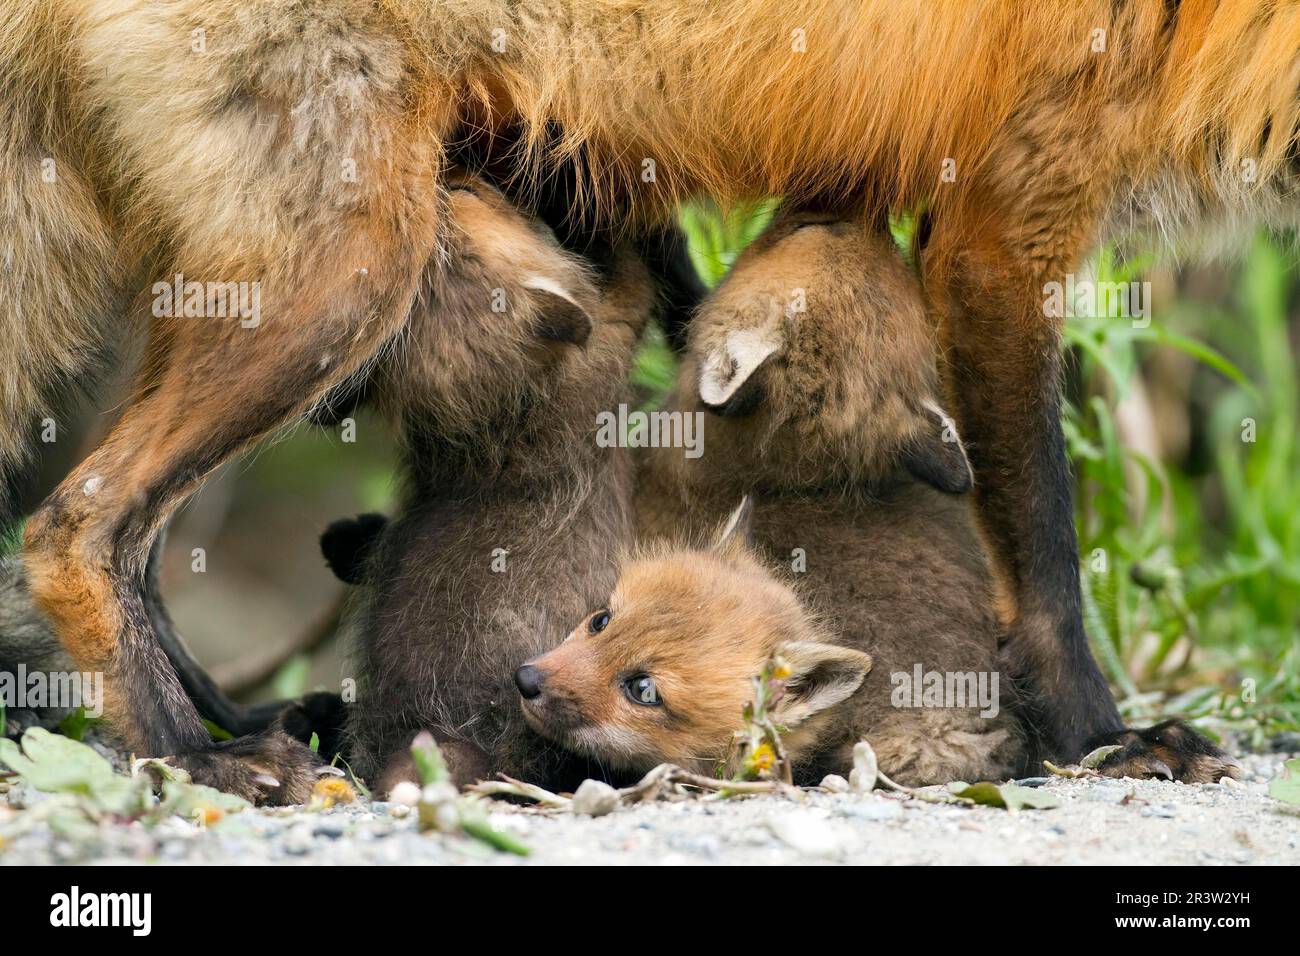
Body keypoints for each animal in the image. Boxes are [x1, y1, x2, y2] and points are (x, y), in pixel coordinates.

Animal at [4, 0, 1292, 795]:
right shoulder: (1000, 233)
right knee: (78, 521)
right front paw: (1106, 738)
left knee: (131, 539)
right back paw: (195, 758)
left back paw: (238, 722)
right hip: (339, 280)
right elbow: (1047, 560)